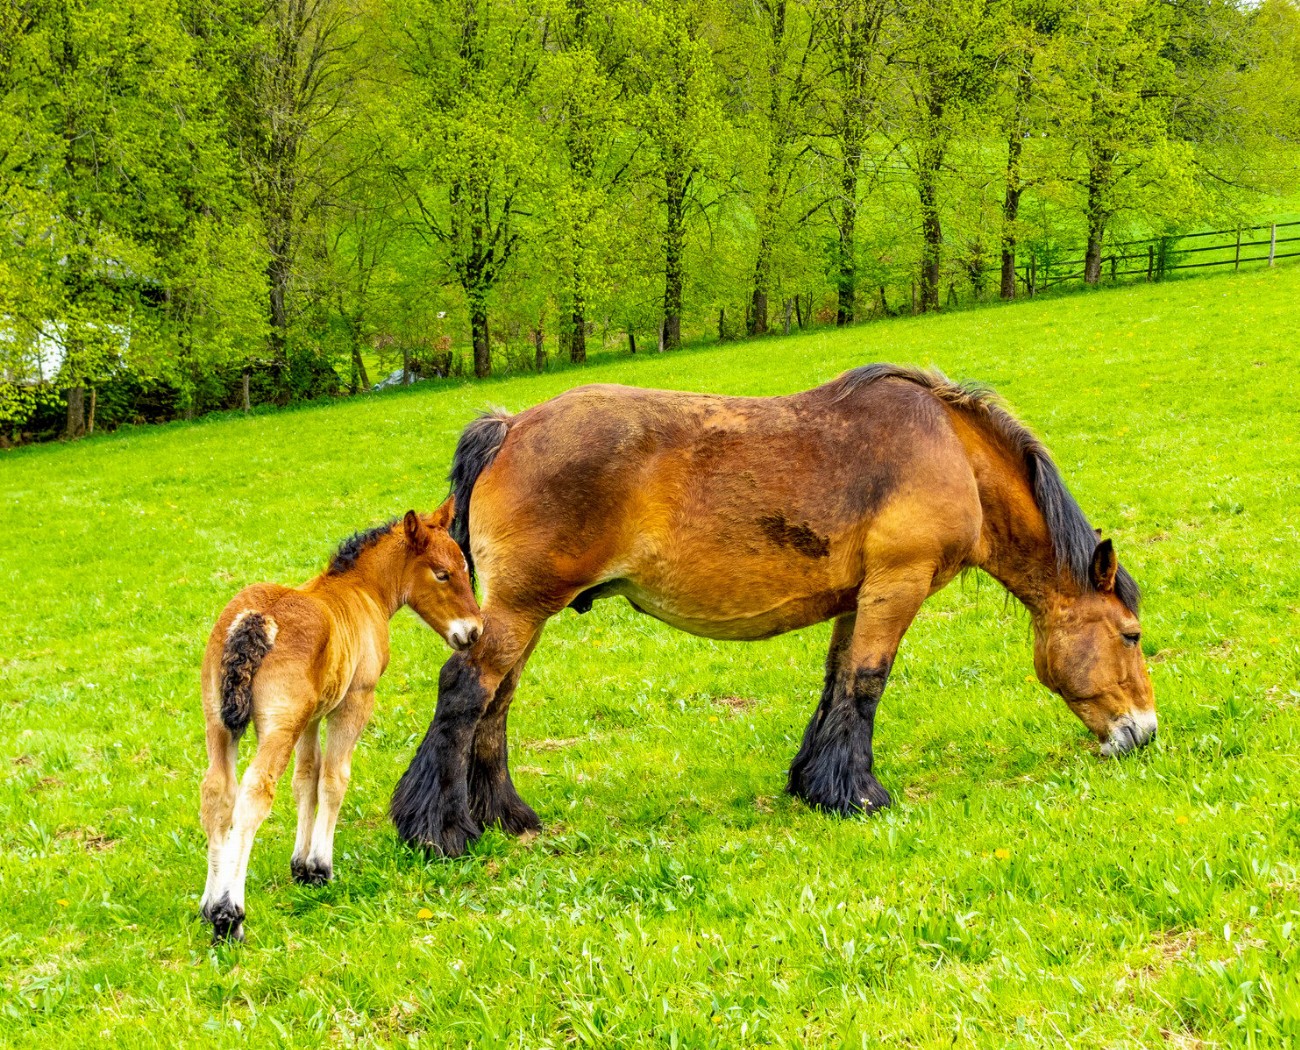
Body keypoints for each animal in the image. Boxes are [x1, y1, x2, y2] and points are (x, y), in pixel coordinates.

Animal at [199, 500, 480, 942]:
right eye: (442, 573)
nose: (474, 631)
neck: (361, 591)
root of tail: (255, 618)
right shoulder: (353, 703)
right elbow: (334, 779)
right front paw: (321, 867)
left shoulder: (312, 718)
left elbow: (306, 779)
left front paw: (301, 867)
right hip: (277, 727)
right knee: (254, 795)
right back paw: (230, 916)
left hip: (219, 722)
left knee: (217, 794)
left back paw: (209, 906)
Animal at [389, 365, 1156, 857]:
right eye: (1131, 634)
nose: (1142, 732)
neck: (952, 451)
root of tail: (510, 426)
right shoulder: (897, 585)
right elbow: (868, 683)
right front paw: (860, 794)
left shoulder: (859, 596)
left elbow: (837, 682)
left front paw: (818, 783)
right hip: (523, 607)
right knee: (467, 691)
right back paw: (440, 829)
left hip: (526, 612)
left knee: (496, 703)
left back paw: (505, 815)